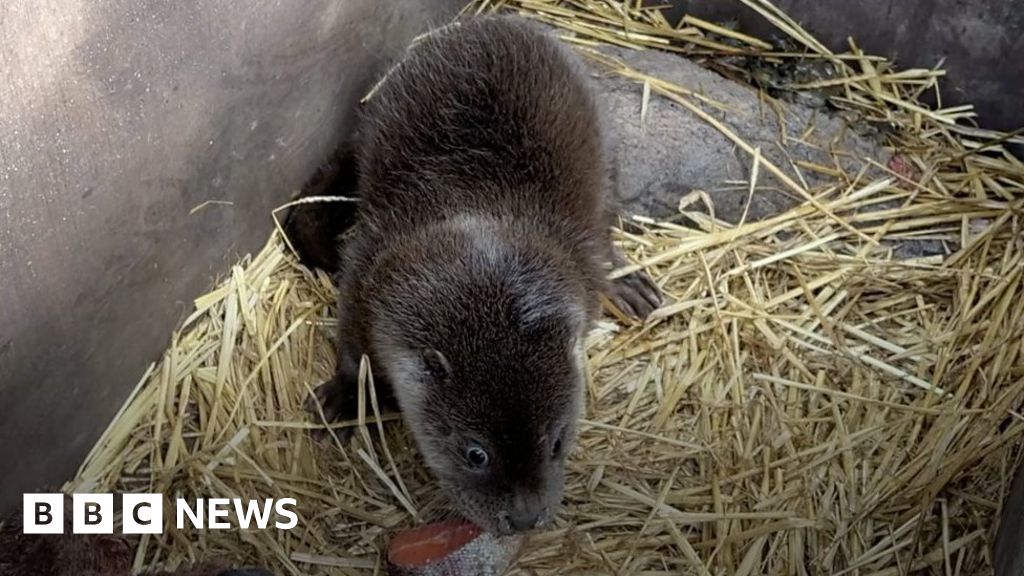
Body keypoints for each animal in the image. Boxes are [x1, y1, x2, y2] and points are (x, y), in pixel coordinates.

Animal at [286, 15, 662, 536]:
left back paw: (630, 286)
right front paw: (342, 397)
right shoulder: (367, 273)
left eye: (557, 442)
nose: (524, 518)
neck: (478, 225)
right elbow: (351, 344)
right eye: (476, 453)